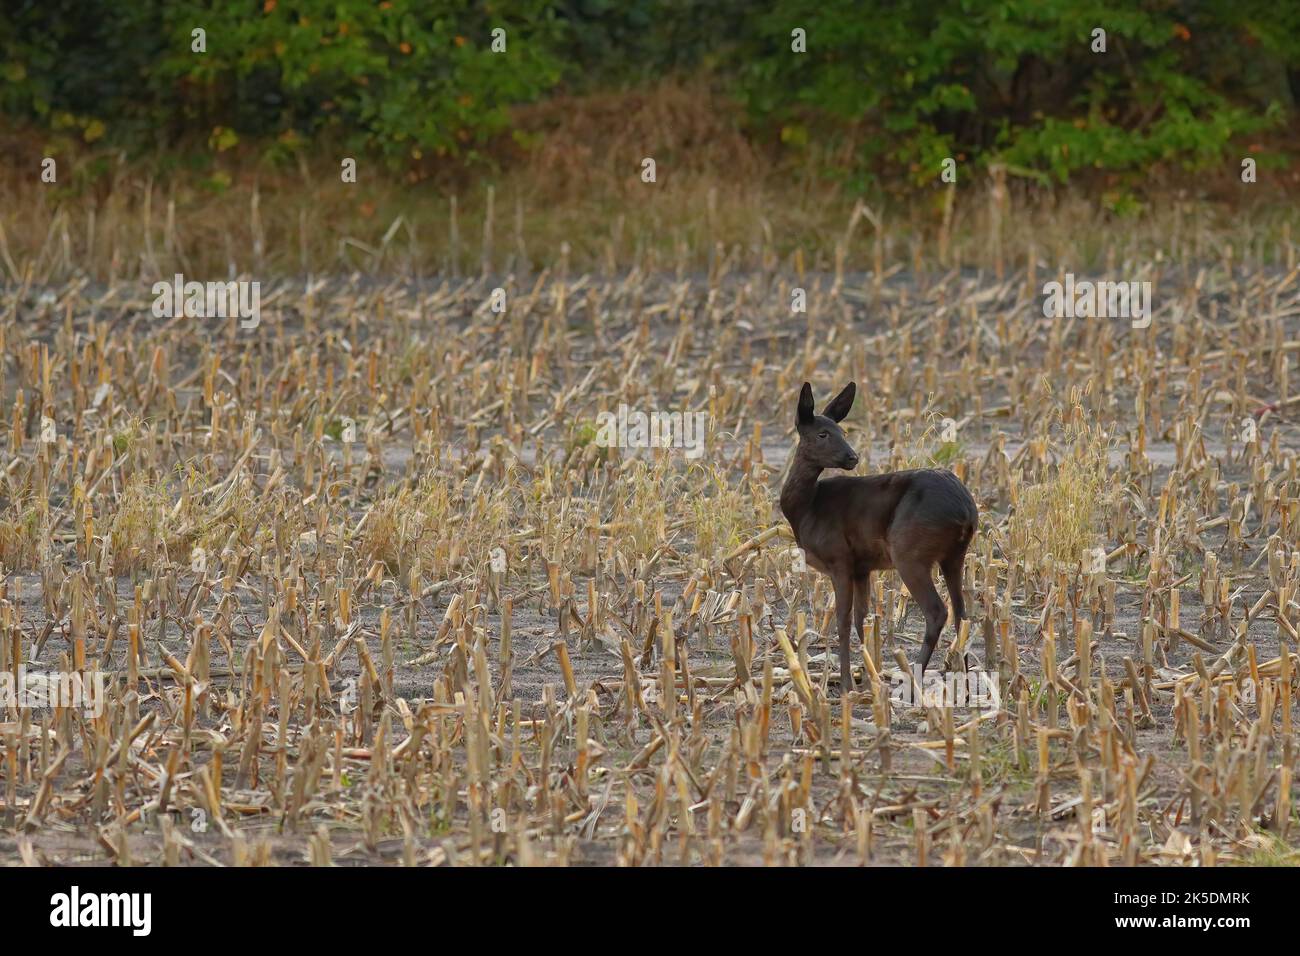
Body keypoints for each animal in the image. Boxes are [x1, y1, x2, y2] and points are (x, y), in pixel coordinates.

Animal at [779, 382, 978, 694]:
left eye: (842, 432)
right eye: (823, 433)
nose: (852, 457)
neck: (806, 508)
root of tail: (966, 509)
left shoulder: (839, 558)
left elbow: (843, 619)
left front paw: (847, 684)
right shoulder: (862, 567)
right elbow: (863, 618)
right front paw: (867, 675)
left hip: (909, 551)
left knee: (937, 611)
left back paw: (913, 680)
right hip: (955, 555)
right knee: (962, 613)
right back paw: (965, 680)